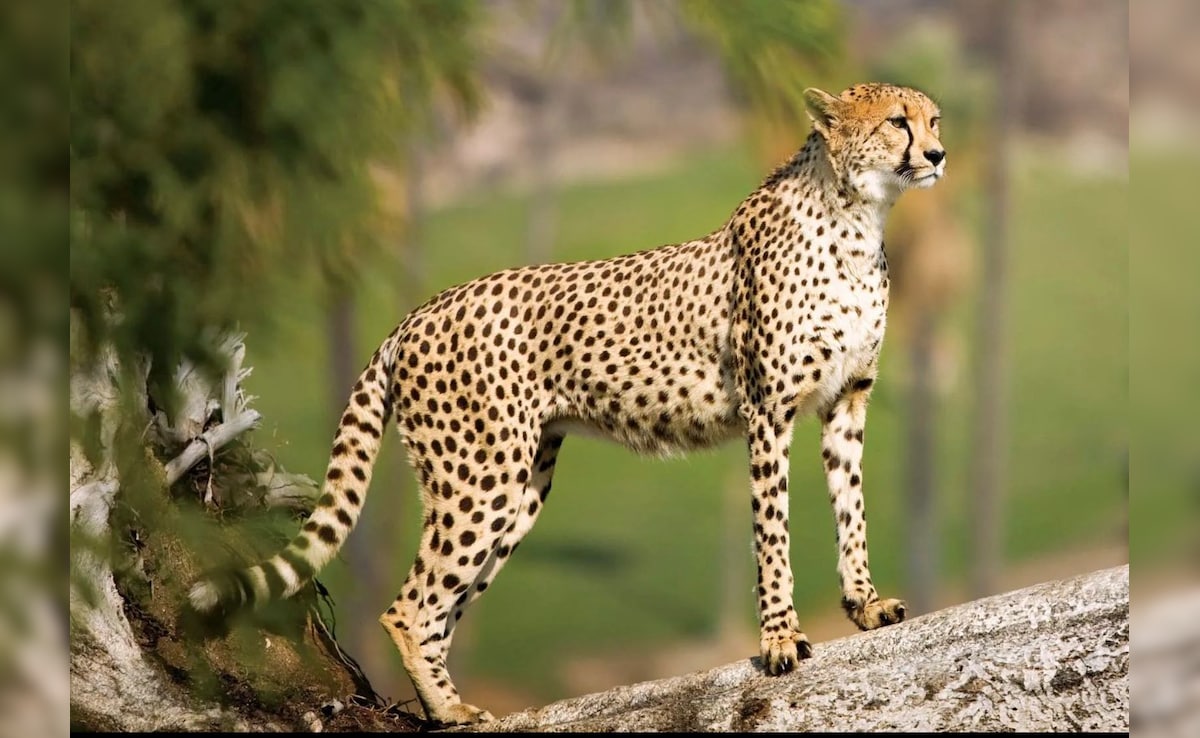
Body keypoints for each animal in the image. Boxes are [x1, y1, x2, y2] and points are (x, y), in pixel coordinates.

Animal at [188, 82, 946, 726]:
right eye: (896, 122)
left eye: (933, 118)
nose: (938, 154)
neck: (856, 217)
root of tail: (417, 313)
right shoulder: (769, 411)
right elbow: (773, 533)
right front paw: (782, 639)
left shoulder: (845, 403)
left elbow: (851, 509)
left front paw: (864, 605)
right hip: (480, 478)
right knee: (408, 607)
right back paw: (448, 708)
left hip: (519, 488)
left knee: (440, 607)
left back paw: (447, 706)